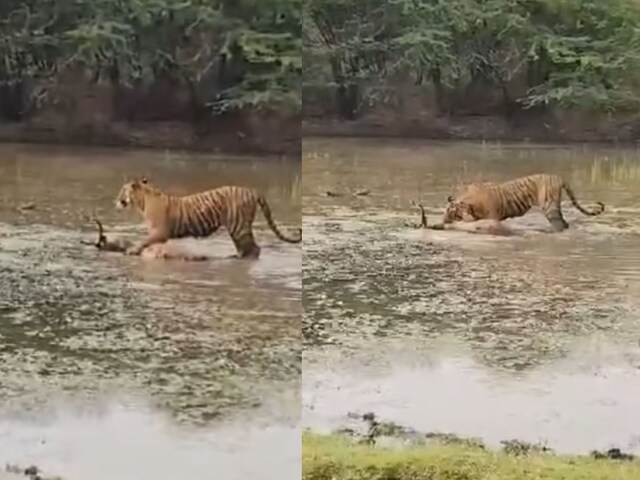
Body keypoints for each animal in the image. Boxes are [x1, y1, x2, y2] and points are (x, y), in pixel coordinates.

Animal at [114, 177, 302, 258]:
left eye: (122, 190)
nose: (116, 200)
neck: (141, 202)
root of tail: (252, 190)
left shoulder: (159, 232)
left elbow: (144, 241)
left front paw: (133, 250)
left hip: (239, 226)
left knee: (254, 249)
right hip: (237, 228)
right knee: (247, 248)